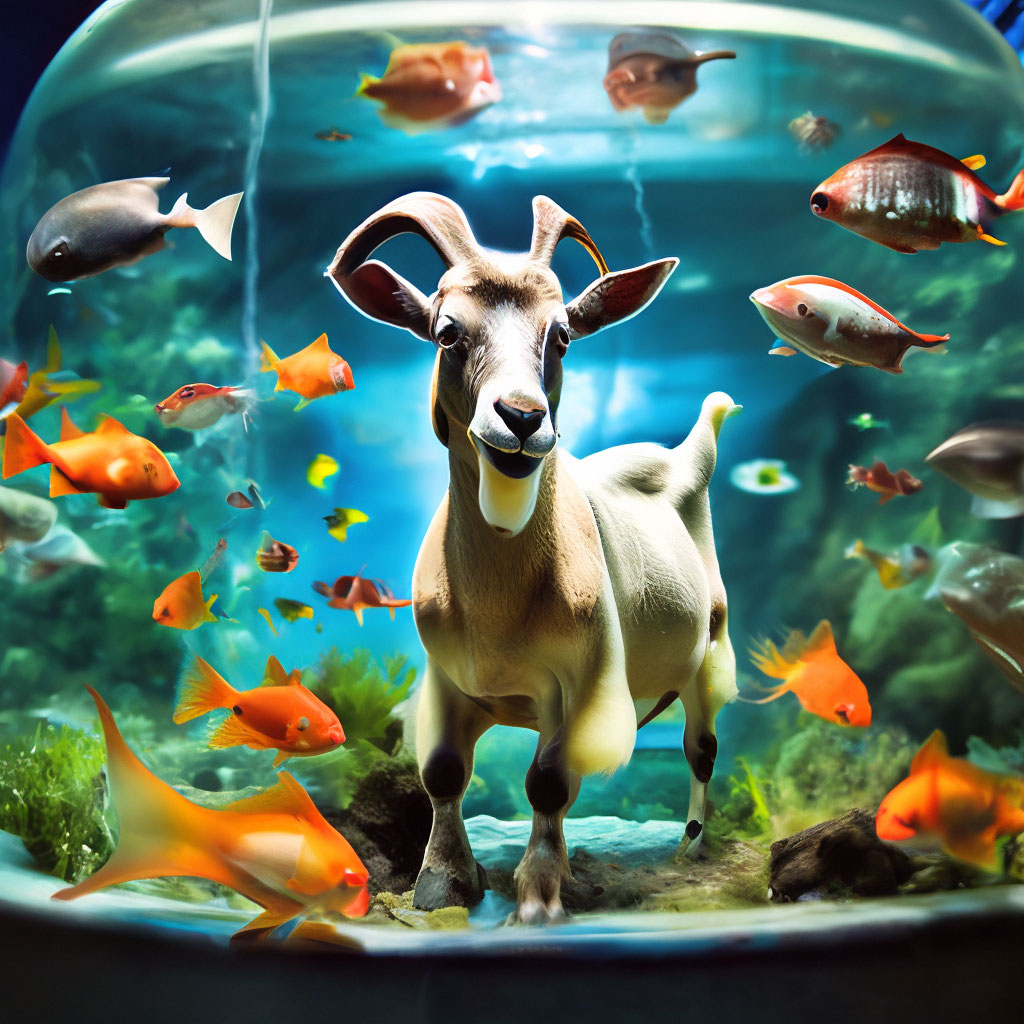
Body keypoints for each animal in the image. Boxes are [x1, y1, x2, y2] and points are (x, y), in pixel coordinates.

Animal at [327, 193, 738, 923]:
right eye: (446, 331)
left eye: (563, 335)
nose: (520, 417)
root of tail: (693, 452)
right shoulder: (447, 676)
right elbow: (442, 772)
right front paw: (441, 884)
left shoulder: (579, 684)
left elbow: (546, 781)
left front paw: (540, 897)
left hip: (709, 653)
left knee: (701, 748)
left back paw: (690, 846)